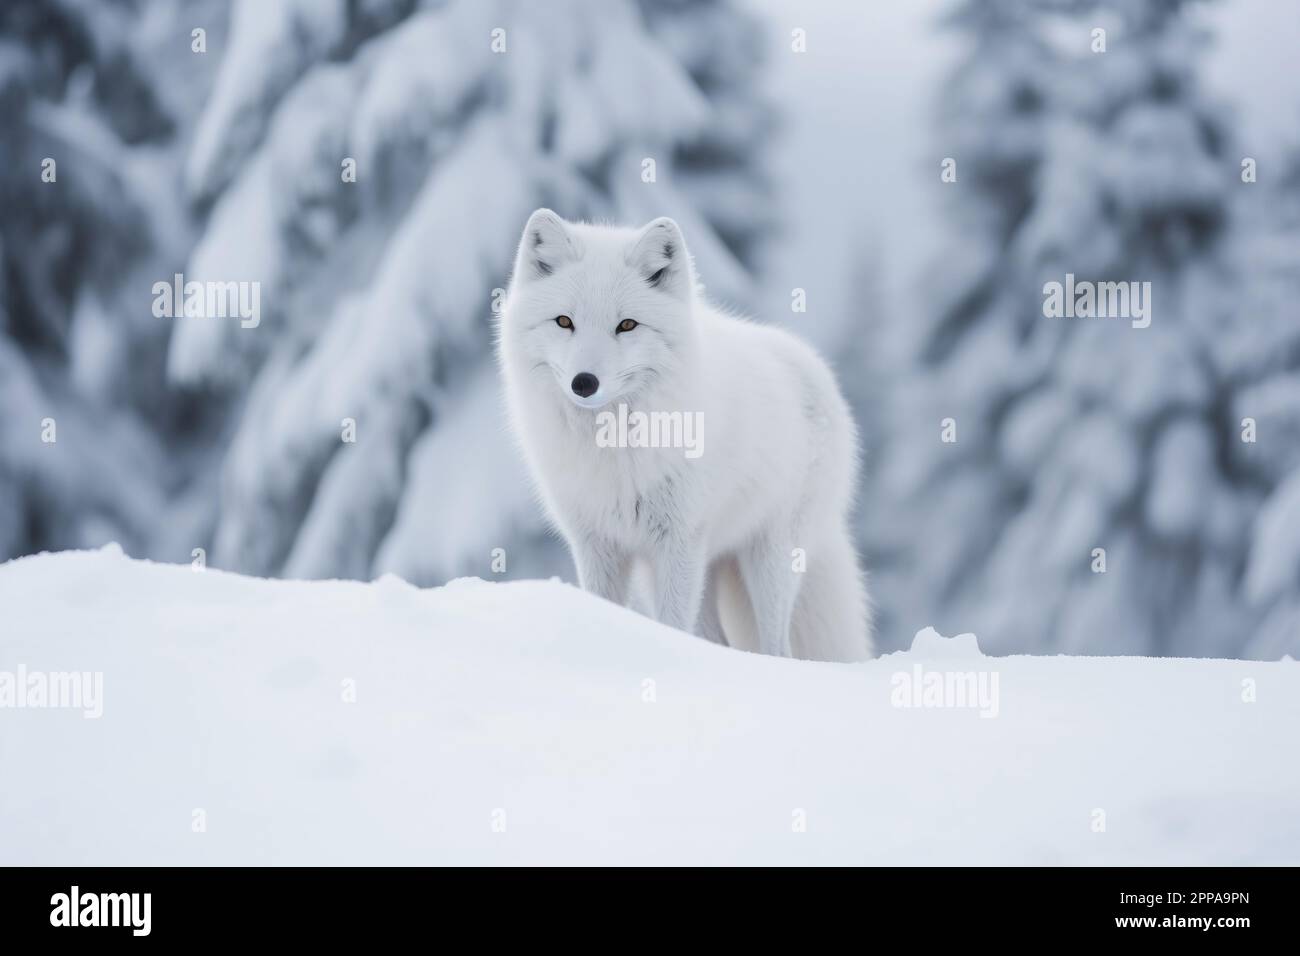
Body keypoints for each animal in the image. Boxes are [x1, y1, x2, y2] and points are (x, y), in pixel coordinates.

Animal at [497, 209, 872, 661]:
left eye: (626, 325)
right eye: (564, 322)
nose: (583, 383)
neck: (612, 446)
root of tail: (813, 366)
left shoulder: (677, 541)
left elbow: (673, 625)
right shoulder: (597, 543)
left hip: (768, 560)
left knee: (777, 647)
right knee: (717, 639)